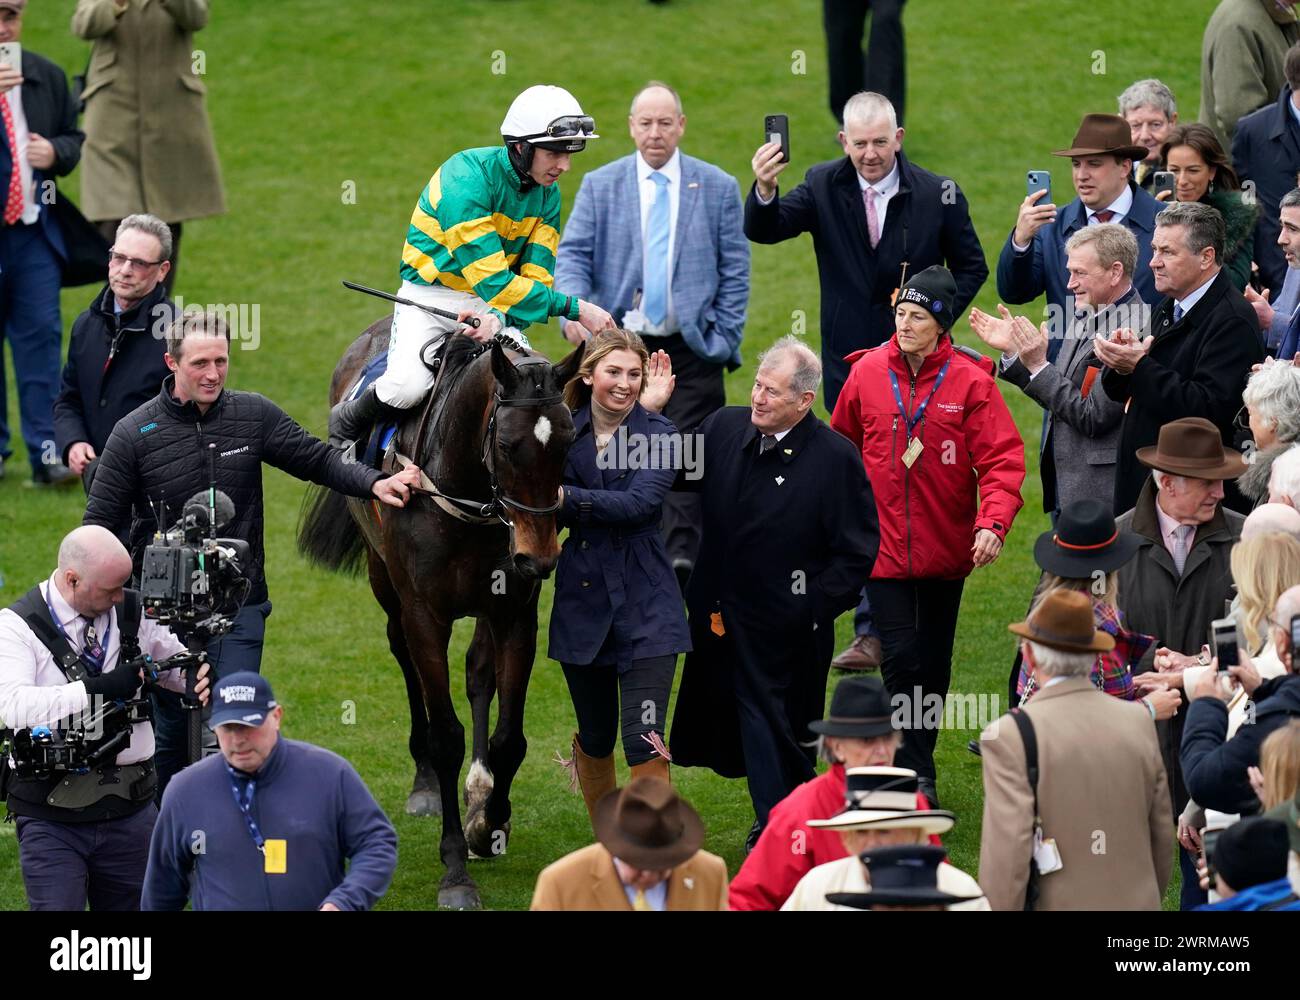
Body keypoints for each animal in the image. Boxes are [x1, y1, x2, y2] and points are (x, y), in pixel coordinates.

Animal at [297, 323, 582, 910]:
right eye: (507, 445)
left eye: (568, 440)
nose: (539, 557)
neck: (467, 495)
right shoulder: (425, 614)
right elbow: (445, 735)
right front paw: (454, 869)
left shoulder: (514, 611)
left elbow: (510, 737)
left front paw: (488, 821)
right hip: (385, 580)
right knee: (403, 656)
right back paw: (426, 784)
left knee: (477, 671)